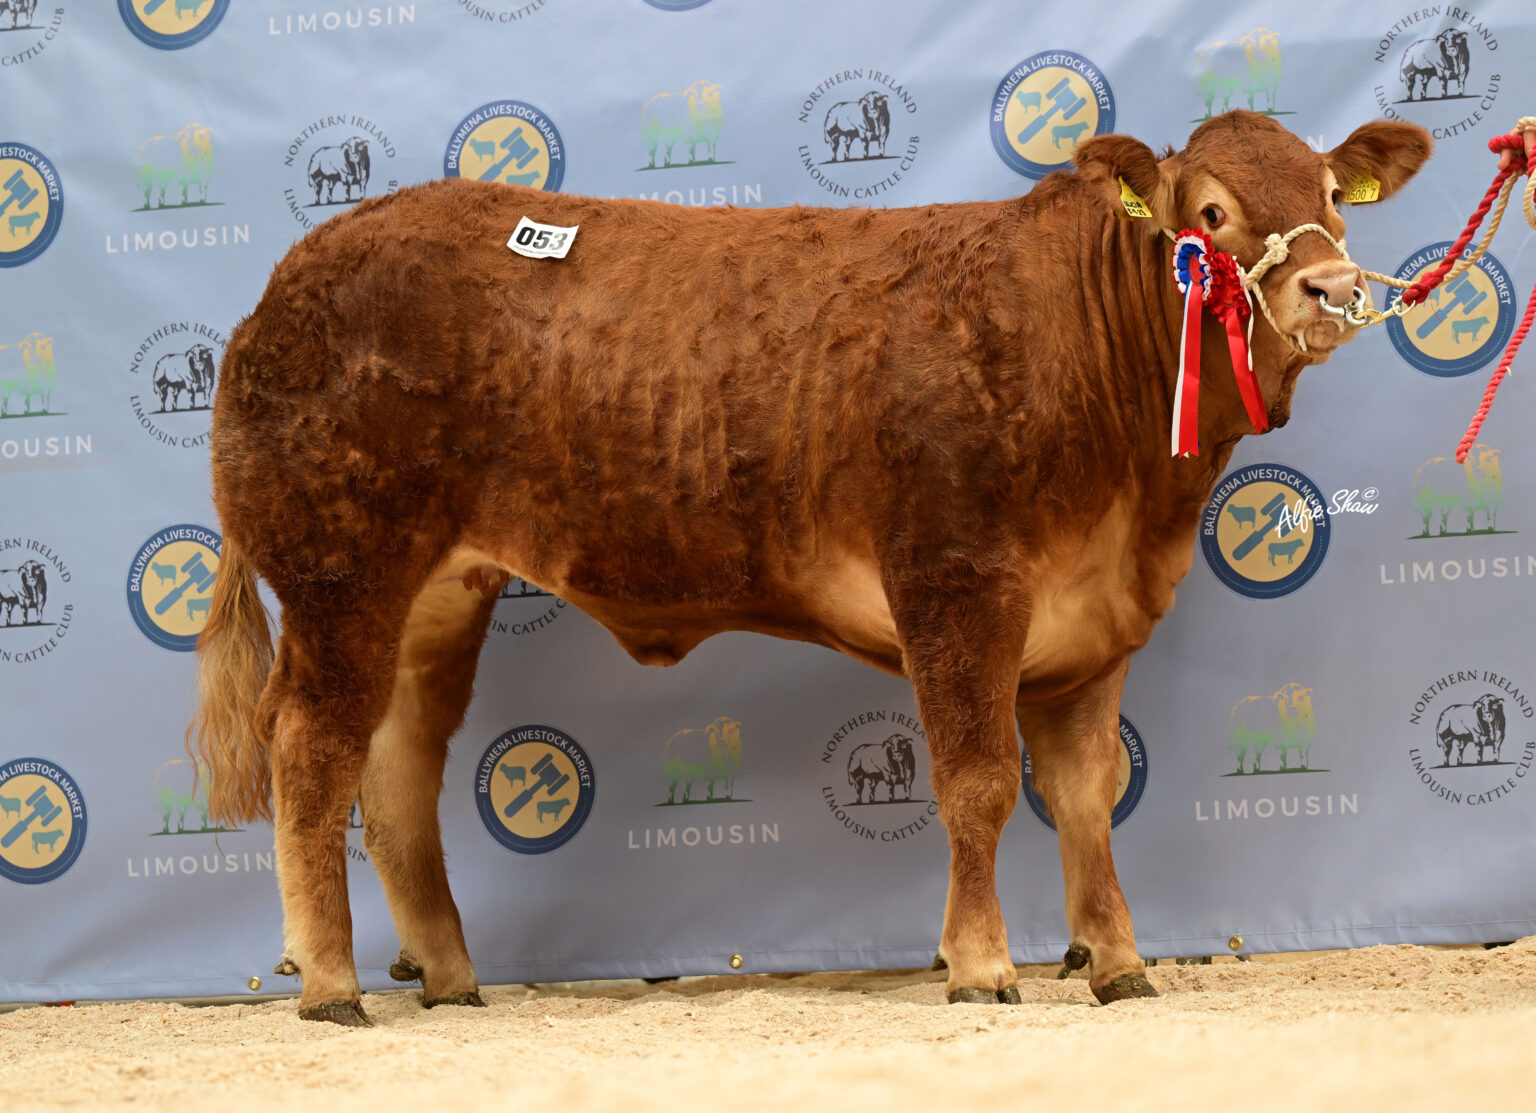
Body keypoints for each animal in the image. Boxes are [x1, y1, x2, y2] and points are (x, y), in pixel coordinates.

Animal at [188, 110, 1430, 1024]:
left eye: (1331, 197)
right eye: (1211, 213)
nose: (1332, 289)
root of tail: (292, 277)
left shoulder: (1095, 625)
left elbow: (1088, 796)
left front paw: (1120, 964)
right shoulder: (956, 583)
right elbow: (978, 782)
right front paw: (983, 966)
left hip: (436, 593)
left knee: (398, 769)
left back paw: (448, 978)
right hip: (341, 571)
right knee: (312, 751)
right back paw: (332, 984)